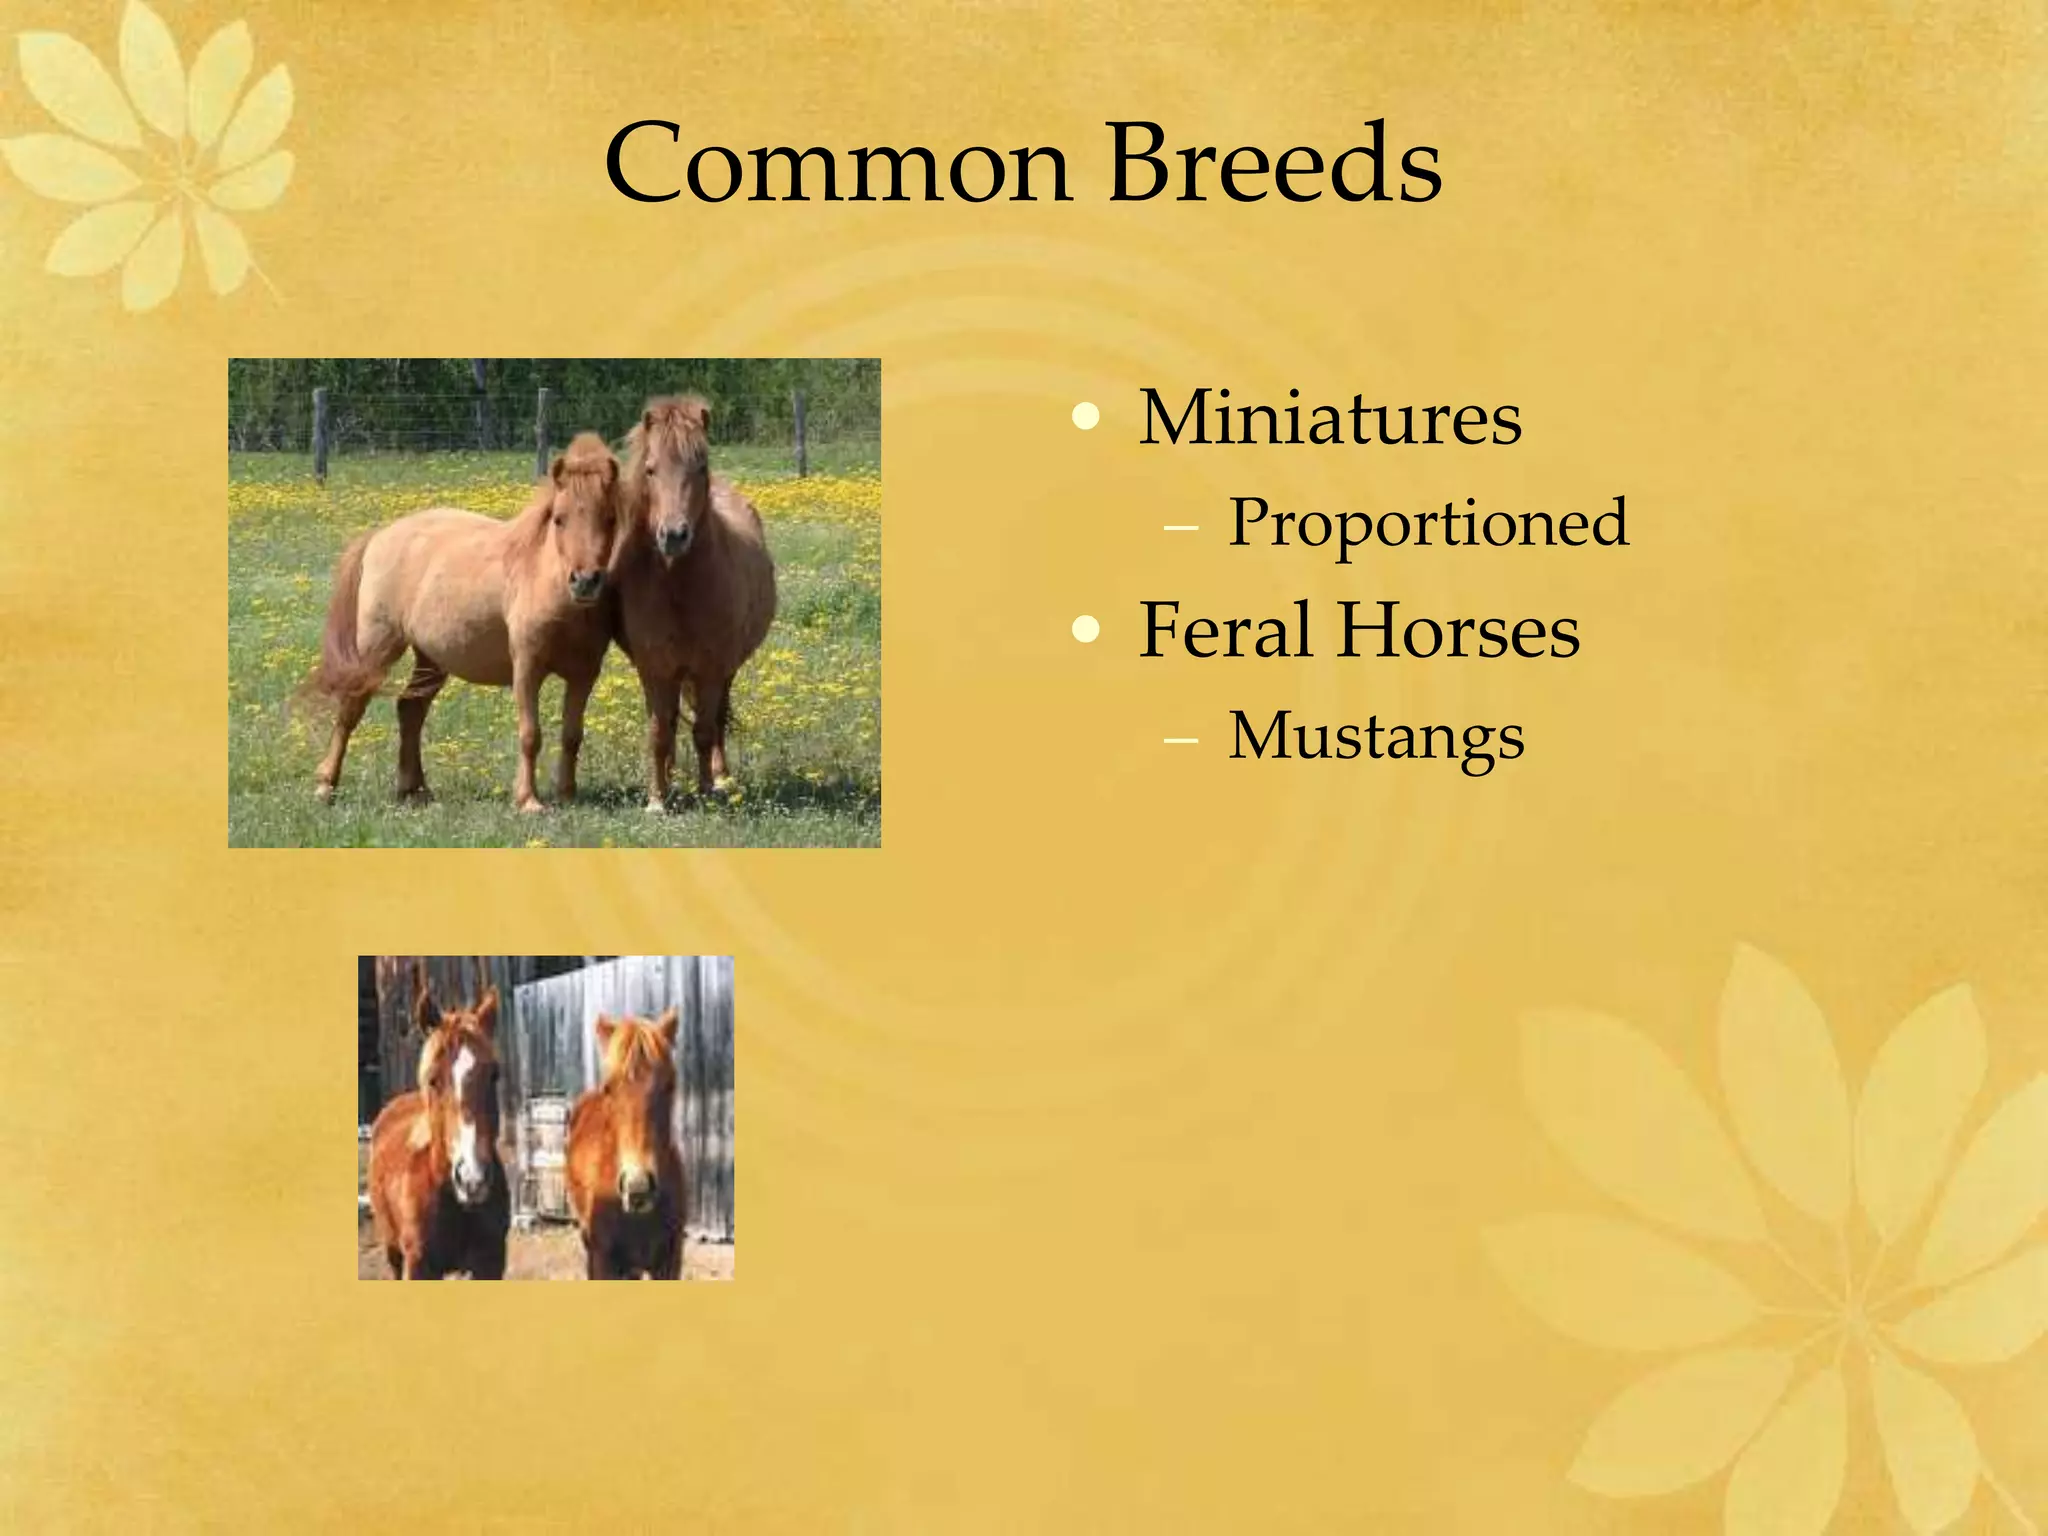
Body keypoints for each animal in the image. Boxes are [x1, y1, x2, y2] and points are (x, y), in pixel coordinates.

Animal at [303, 432, 621, 813]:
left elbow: (572, 735)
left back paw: (414, 789)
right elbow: (531, 734)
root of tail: (380, 535)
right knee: (352, 708)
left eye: (610, 518)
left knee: (410, 709)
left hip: (432, 657)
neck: (548, 582)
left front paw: (568, 795)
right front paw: (528, 800)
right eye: (559, 519)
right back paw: (326, 786)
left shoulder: (584, 674)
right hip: (378, 646)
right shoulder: (527, 667)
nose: (585, 581)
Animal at [366, 981, 510, 1280]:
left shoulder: (491, 1263)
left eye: (494, 1074)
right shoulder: (418, 1266)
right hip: (392, 1250)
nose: (472, 1179)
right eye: (433, 1080)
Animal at [611, 397, 777, 809]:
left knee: (716, 722)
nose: (674, 535)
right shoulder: (654, 668)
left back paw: (722, 777)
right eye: (650, 469)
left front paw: (706, 790)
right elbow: (659, 731)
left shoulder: (712, 668)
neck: (679, 587)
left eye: (700, 466)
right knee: (671, 722)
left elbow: (704, 730)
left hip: (725, 671)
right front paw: (657, 799)